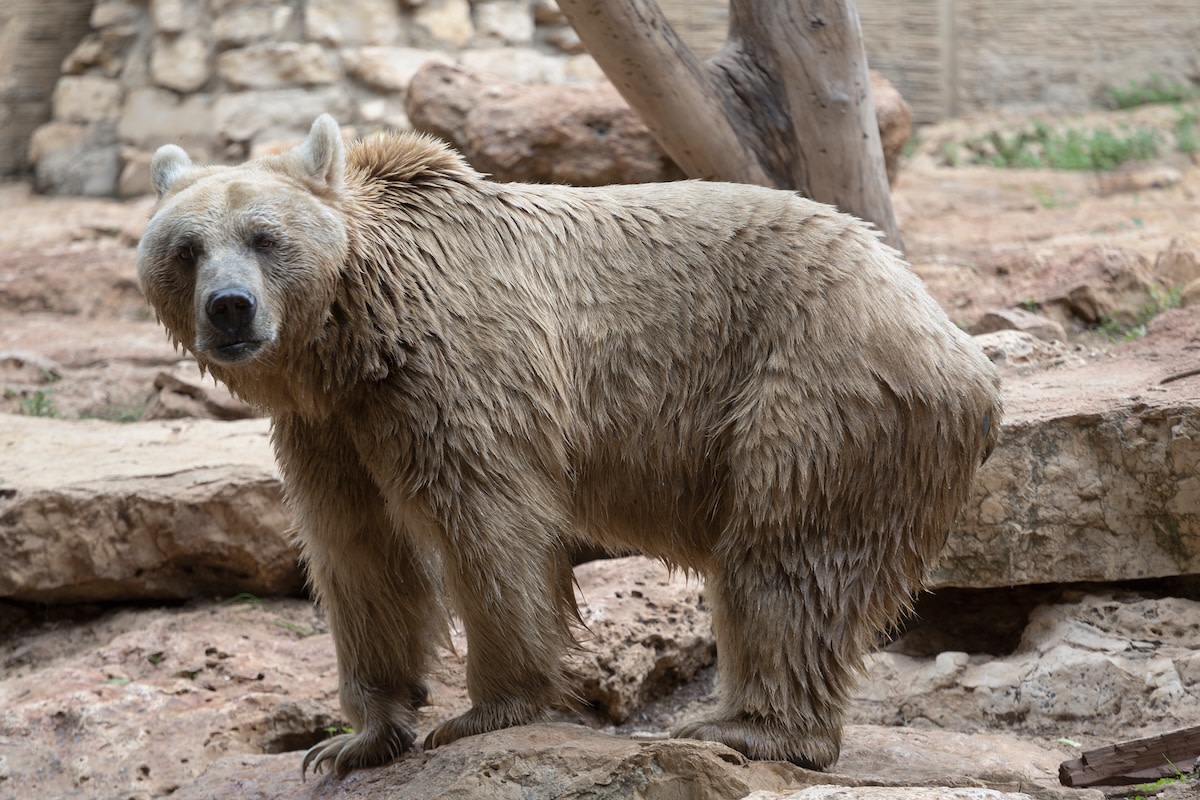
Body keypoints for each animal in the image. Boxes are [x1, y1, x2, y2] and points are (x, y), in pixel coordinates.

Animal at [136, 115, 1001, 777]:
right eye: (185, 248)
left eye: (264, 236)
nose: (231, 307)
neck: (356, 335)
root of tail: (953, 336)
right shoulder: (332, 429)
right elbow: (358, 553)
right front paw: (352, 740)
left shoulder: (455, 366)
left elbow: (487, 524)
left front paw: (486, 709)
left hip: (819, 386)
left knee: (786, 557)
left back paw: (744, 727)